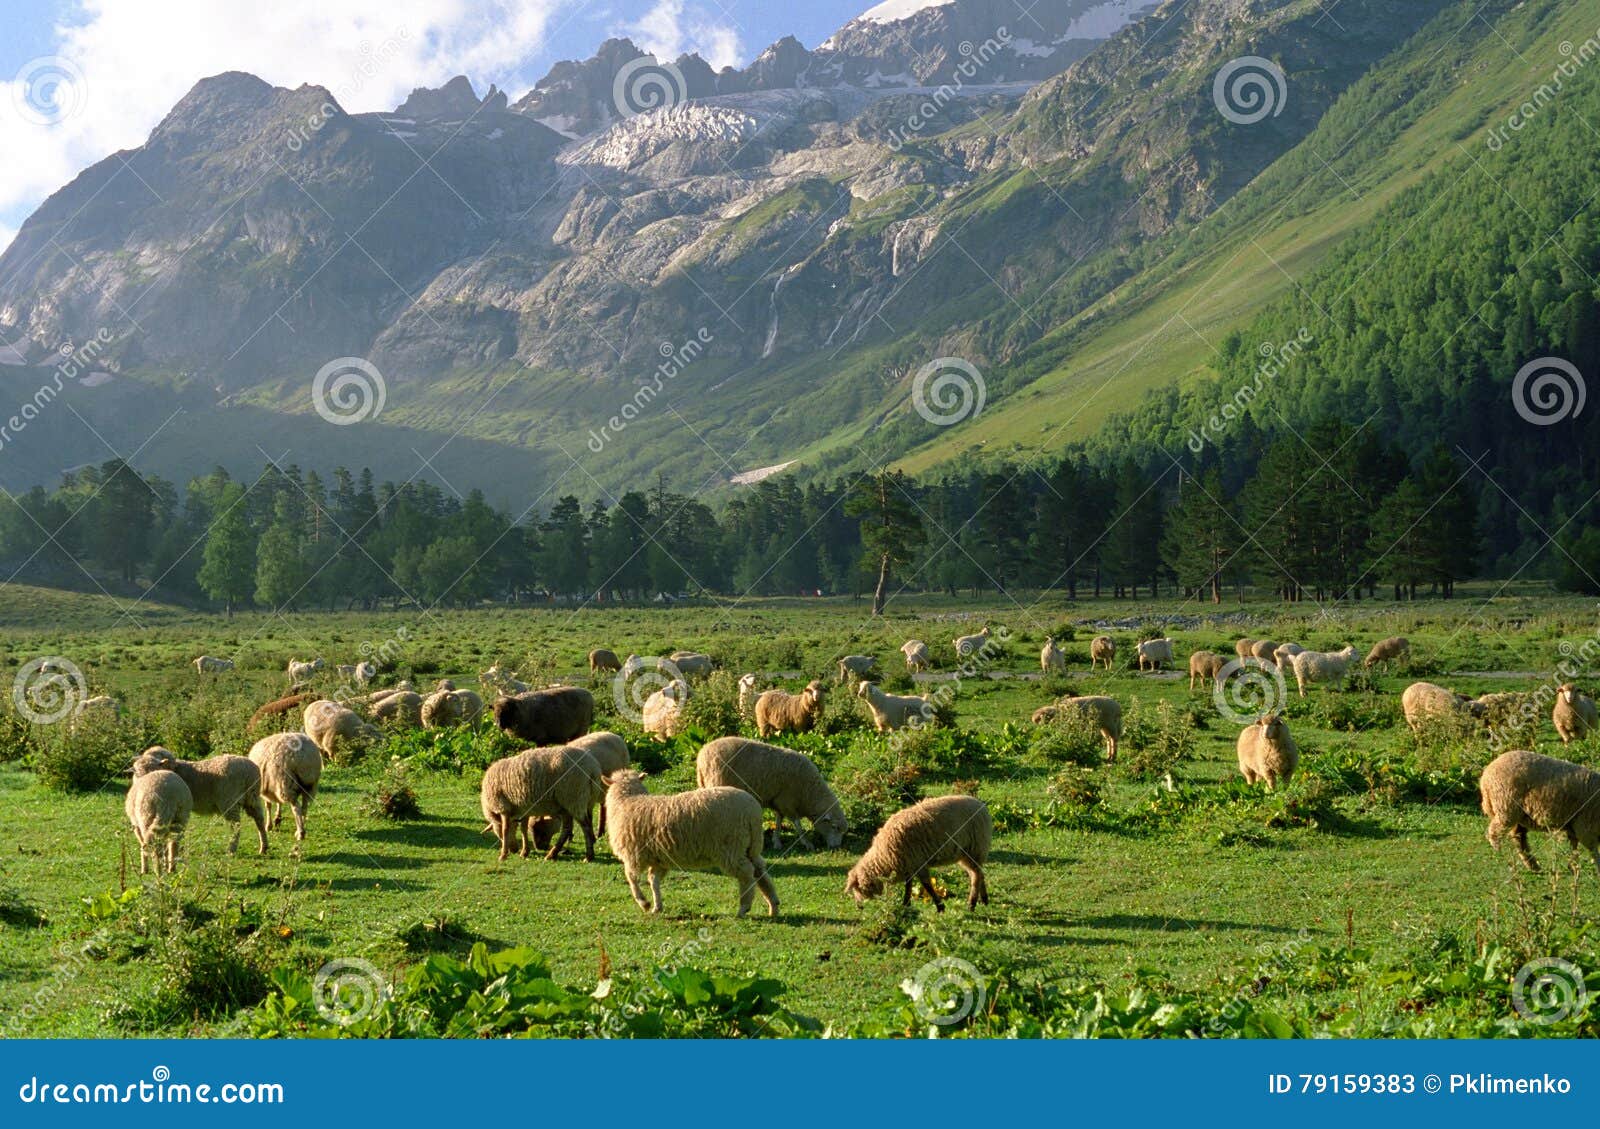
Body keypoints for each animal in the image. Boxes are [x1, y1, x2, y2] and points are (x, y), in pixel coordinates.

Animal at [130, 746, 267, 855]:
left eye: (153, 769)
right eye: (137, 772)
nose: (146, 787)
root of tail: (250, 771)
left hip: (229, 801)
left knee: (236, 826)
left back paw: (231, 849)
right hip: (252, 798)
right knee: (259, 819)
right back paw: (264, 847)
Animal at [603, 769, 778, 917]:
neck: (627, 800)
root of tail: (752, 811)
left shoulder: (633, 855)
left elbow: (632, 878)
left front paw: (644, 903)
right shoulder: (659, 859)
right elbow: (654, 882)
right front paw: (657, 907)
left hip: (731, 848)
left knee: (747, 873)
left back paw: (744, 908)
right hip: (751, 846)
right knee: (760, 870)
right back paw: (773, 906)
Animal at [695, 736, 847, 850]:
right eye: (834, 827)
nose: (837, 847)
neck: (808, 792)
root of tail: (702, 755)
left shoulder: (778, 800)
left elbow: (779, 821)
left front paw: (777, 842)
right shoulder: (787, 800)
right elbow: (797, 824)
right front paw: (807, 843)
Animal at [845, 795, 990, 912]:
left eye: (857, 889)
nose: (858, 907)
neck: (884, 857)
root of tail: (981, 806)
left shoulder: (918, 862)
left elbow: (927, 885)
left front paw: (940, 907)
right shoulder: (909, 864)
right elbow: (909, 884)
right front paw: (906, 903)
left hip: (974, 848)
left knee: (975, 875)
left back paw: (971, 904)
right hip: (967, 853)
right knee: (979, 873)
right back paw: (984, 900)